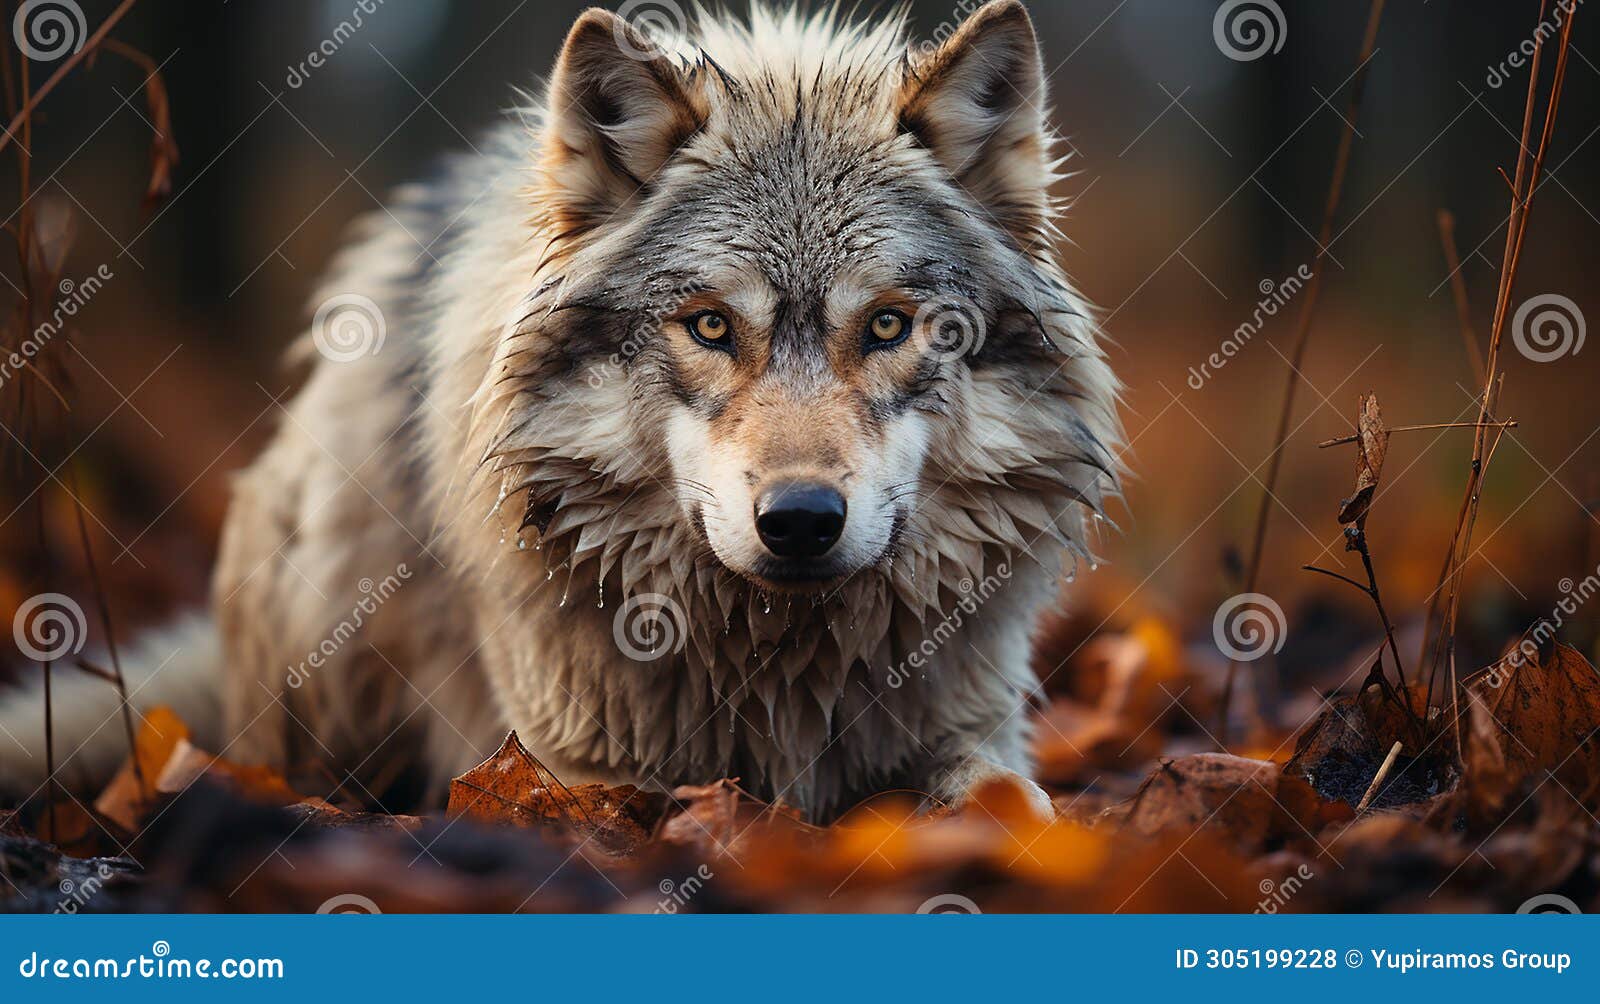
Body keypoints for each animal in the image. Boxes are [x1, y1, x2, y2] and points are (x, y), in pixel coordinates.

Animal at [0, 1, 1120, 822]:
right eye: (710, 326)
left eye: (887, 326)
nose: (800, 520)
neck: (773, 667)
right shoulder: (572, 765)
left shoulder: (974, 732)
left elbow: (1017, 808)